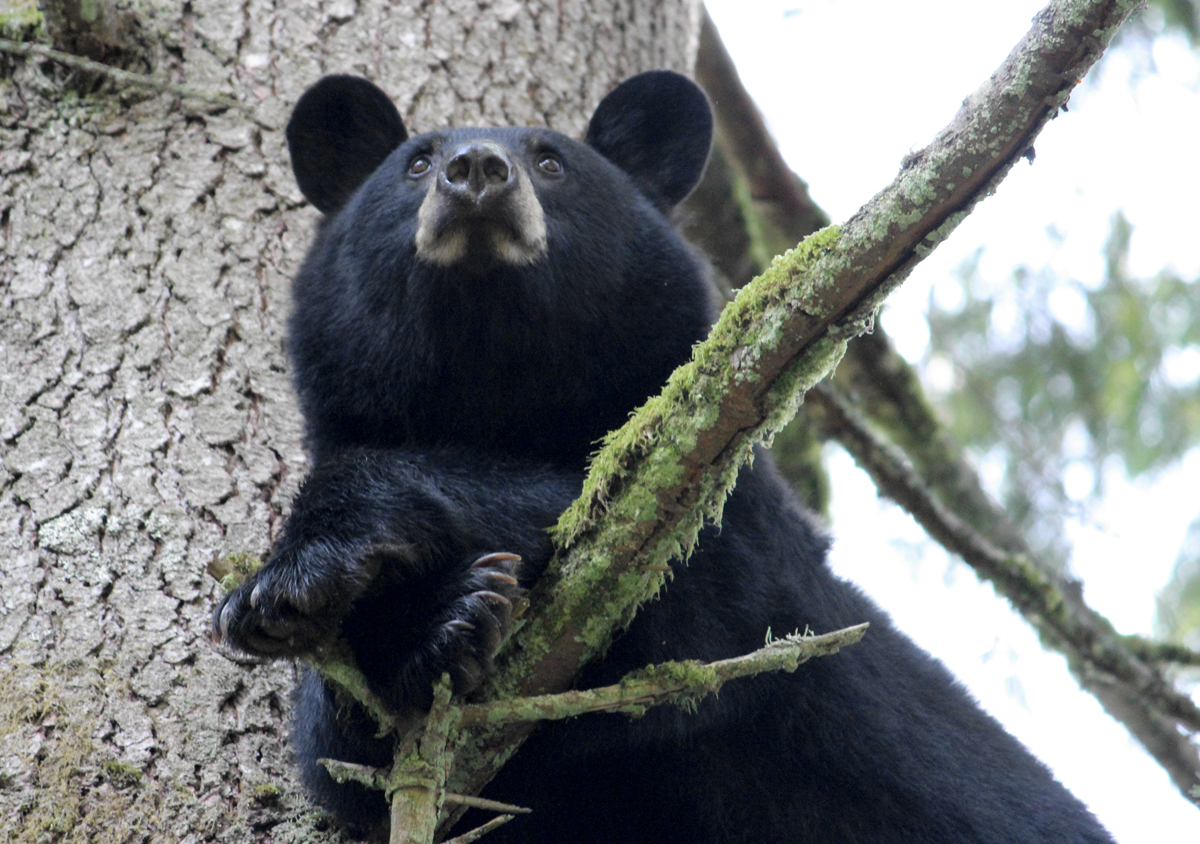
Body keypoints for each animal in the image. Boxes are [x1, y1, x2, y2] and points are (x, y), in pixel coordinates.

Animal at [212, 71, 1115, 843]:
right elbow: (343, 764)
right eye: (417, 161)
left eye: (552, 160)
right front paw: (421, 621)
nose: (477, 172)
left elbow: (678, 584)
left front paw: (315, 565)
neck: (495, 389)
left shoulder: (736, 529)